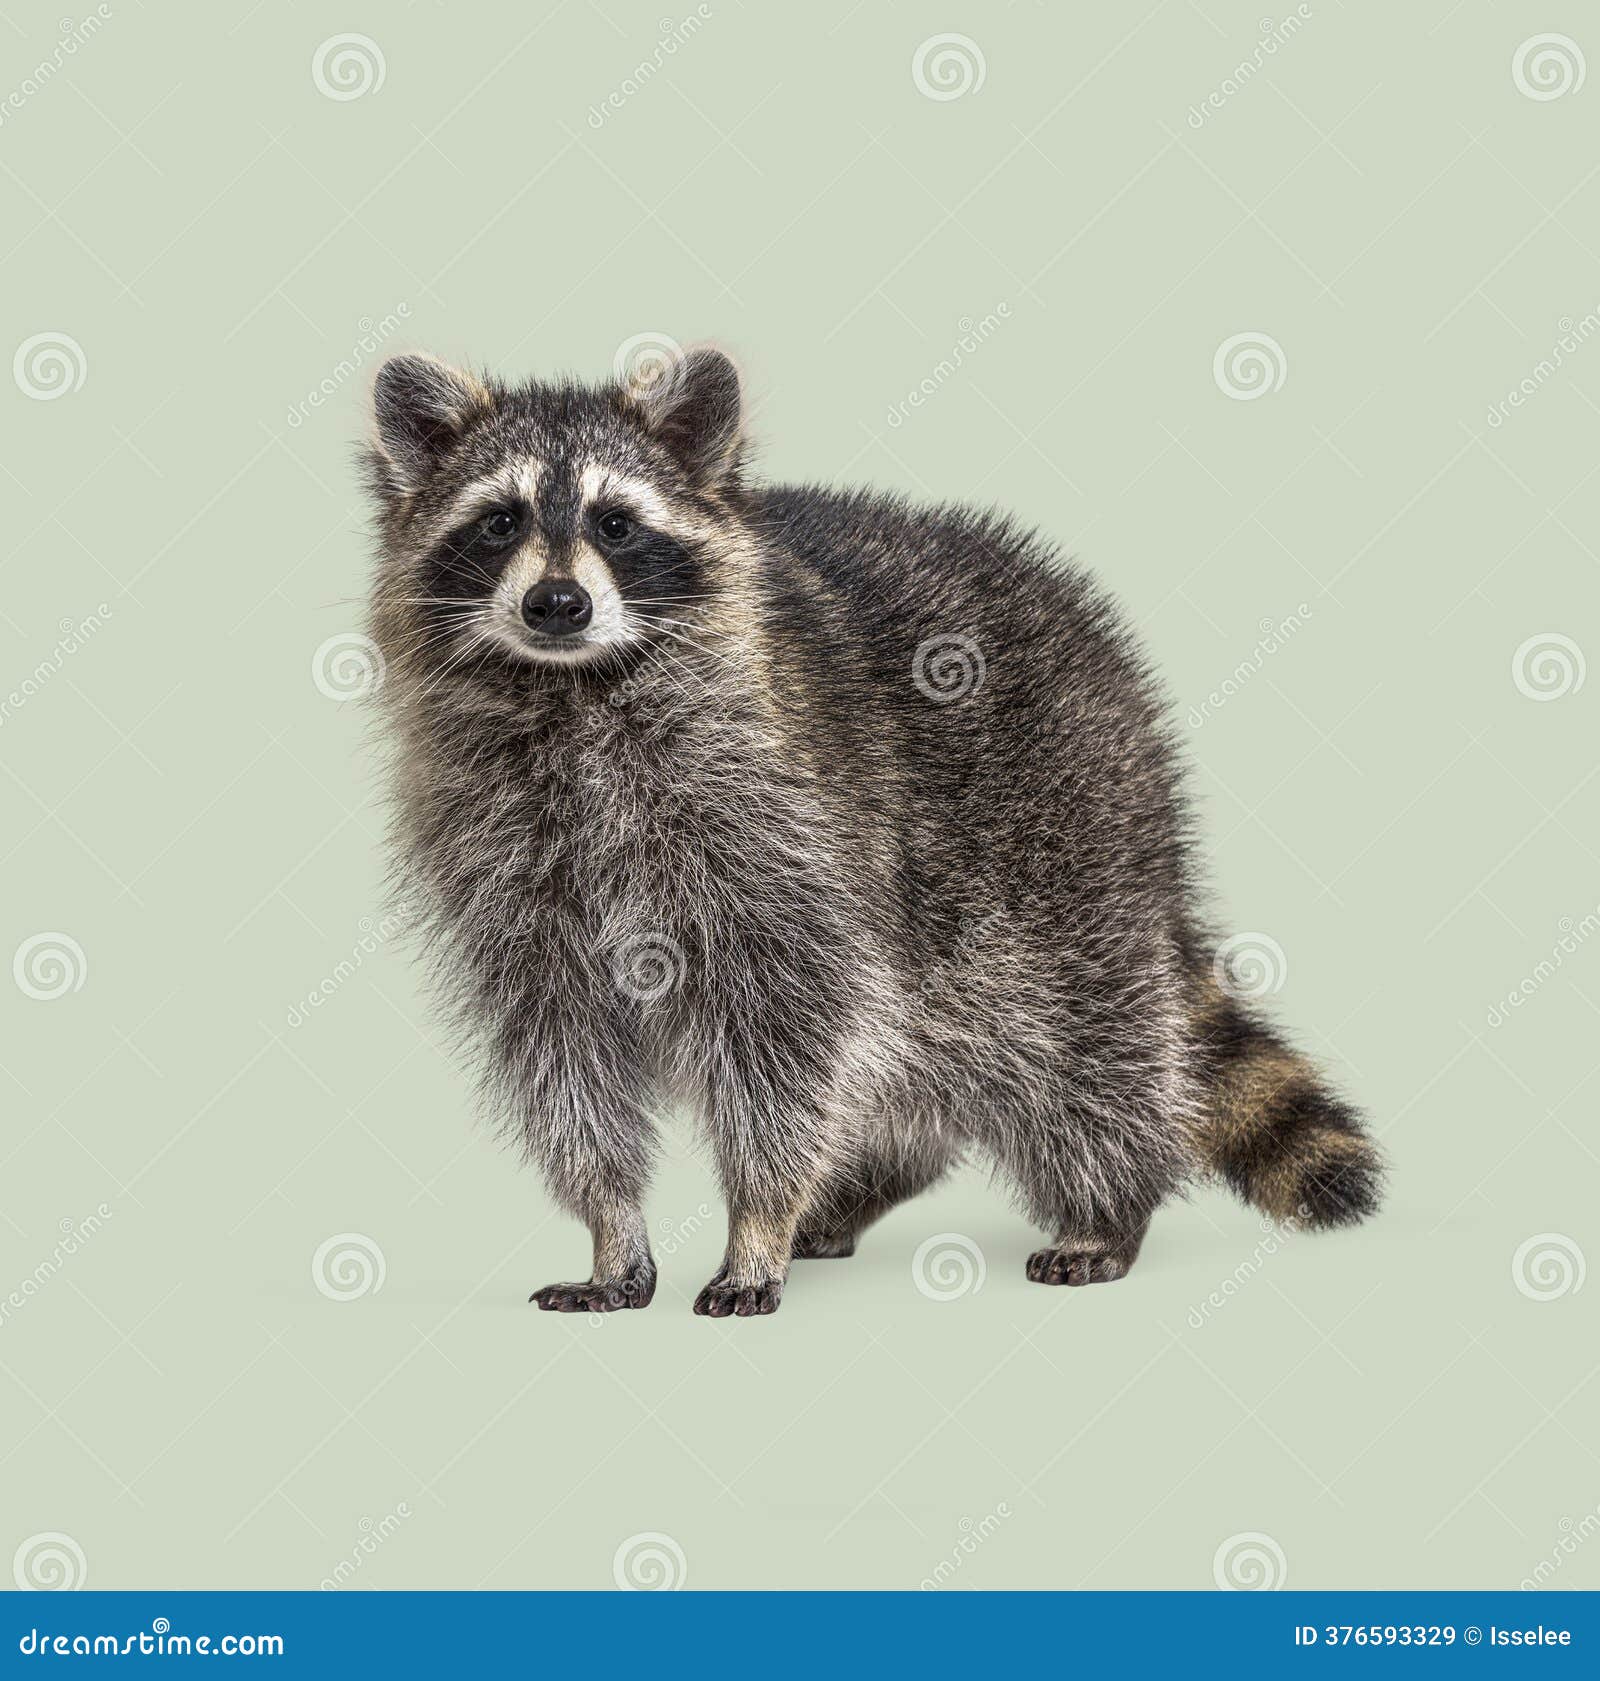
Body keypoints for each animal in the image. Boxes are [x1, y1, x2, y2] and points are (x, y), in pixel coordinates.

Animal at [361, 345, 1382, 1318]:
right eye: (499, 521)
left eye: (616, 523)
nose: (557, 604)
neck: (573, 686)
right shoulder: (507, 860)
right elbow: (565, 1059)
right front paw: (612, 1226)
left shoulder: (779, 833)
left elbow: (785, 1041)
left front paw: (759, 1220)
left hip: (1065, 828)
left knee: (1081, 1028)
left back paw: (1109, 1202)